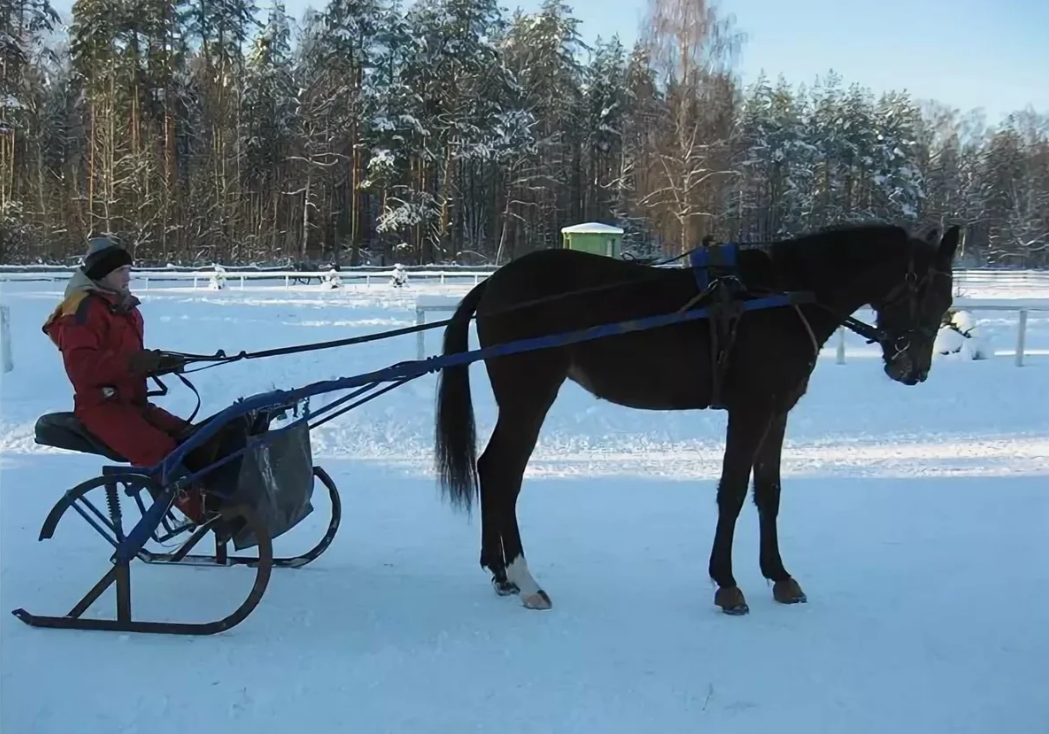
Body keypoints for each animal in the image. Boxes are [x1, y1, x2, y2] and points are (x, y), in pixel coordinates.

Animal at [432, 223, 960, 612]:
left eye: (948, 299)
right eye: (926, 292)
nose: (914, 370)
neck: (781, 297)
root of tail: (495, 283)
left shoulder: (777, 413)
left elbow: (768, 493)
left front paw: (780, 576)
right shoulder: (750, 411)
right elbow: (732, 493)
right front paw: (727, 583)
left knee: (490, 469)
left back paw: (500, 572)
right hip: (530, 398)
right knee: (503, 473)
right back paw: (525, 579)